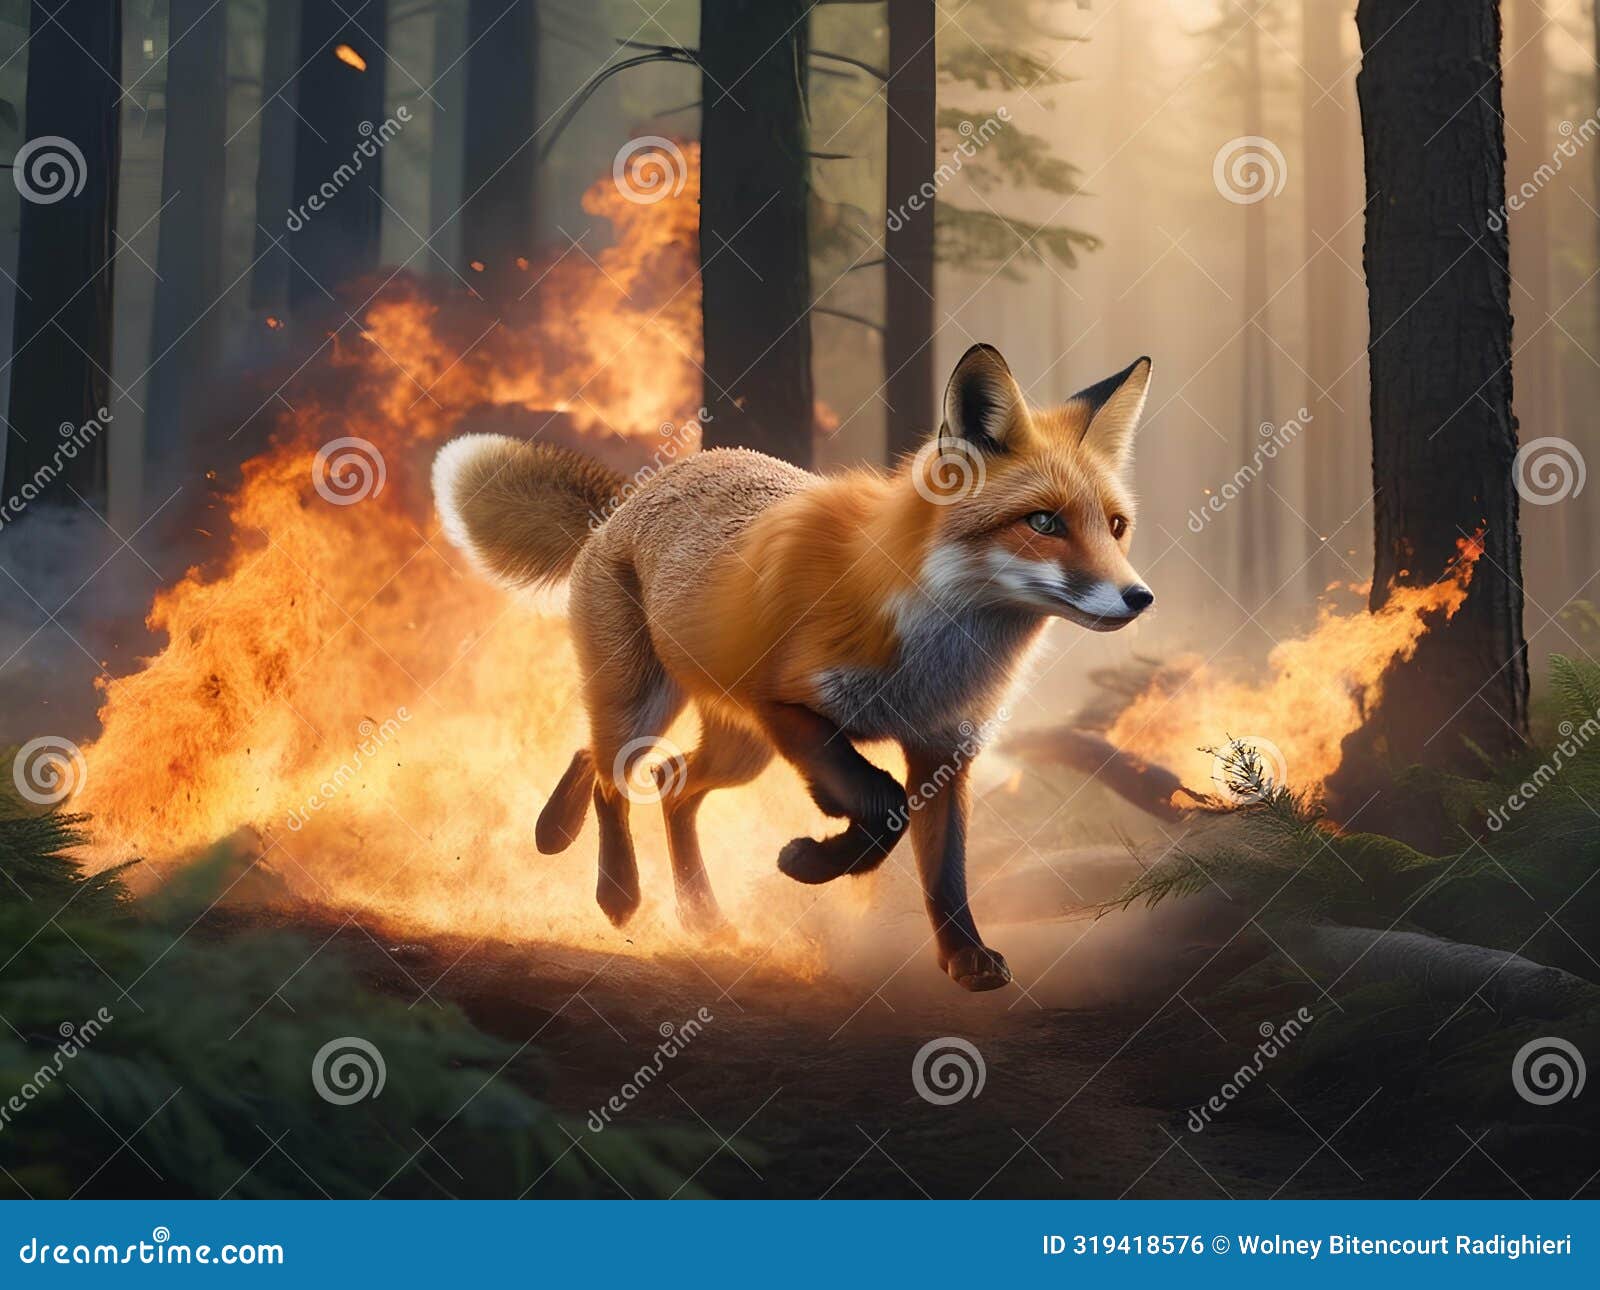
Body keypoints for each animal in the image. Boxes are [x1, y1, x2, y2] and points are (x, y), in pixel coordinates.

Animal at [432, 344, 1155, 991]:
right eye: (1044, 522)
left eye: (1116, 527)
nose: (1139, 598)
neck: (935, 652)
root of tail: (628, 499)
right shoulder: (788, 707)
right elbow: (882, 805)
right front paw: (810, 861)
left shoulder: (943, 750)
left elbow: (945, 871)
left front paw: (964, 958)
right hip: (653, 703)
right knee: (612, 774)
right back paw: (616, 890)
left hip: (738, 746)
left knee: (659, 780)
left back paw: (685, 906)